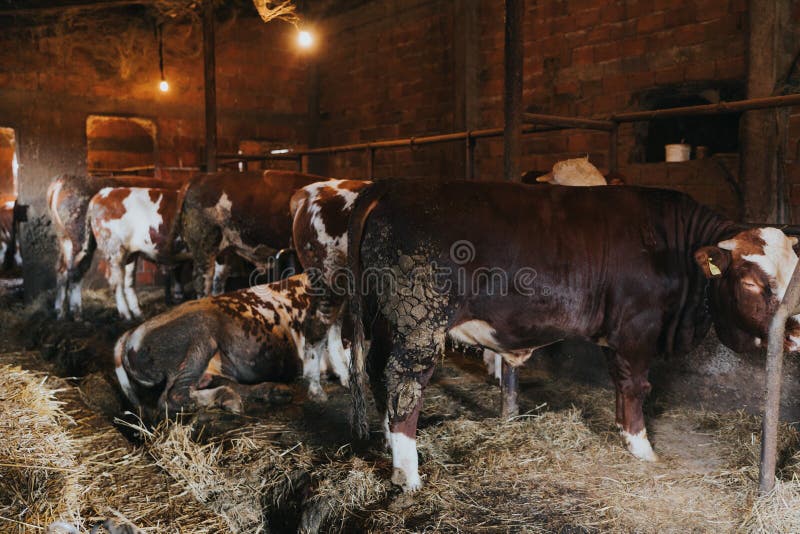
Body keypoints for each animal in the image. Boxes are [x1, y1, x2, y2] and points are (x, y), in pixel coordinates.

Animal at [47, 174, 171, 319]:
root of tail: (63, 179)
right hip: (81, 239)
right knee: (75, 271)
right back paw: (77, 314)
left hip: (65, 239)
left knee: (62, 269)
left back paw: (60, 313)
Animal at [86, 186, 188, 320]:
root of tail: (102, 193)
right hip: (115, 250)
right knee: (116, 282)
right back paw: (127, 315)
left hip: (130, 254)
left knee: (128, 282)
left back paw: (138, 313)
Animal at [345, 179, 800, 492]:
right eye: (751, 283)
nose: (794, 330)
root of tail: (393, 186)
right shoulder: (637, 327)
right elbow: (635, 386)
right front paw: (642, 448)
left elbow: (622, 386)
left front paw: (624, 435)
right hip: (419, 325)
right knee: (405, 384)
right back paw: (408, 474)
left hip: (384, 321)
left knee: (380, 376)